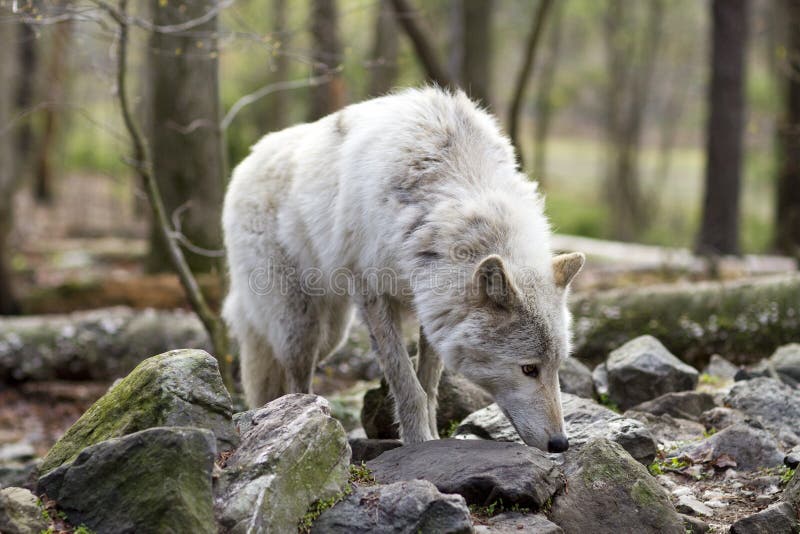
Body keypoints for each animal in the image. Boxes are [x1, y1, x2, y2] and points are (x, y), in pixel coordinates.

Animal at [222, 87, 584, 452]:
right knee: (294, 375)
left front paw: (435, 438)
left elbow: (429, 384)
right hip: (302, 328)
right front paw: (417, 441)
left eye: (557, 367)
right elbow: (408, 385)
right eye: (529, 369)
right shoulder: (372, 296)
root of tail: (247, 160)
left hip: (333, 331)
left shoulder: (432, 304)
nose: (560, 443)